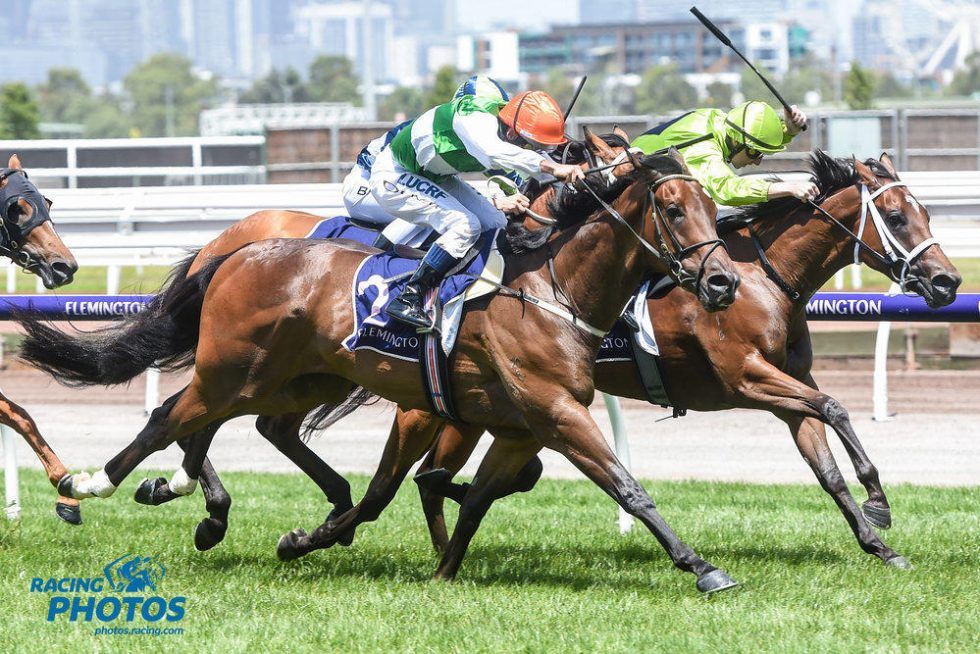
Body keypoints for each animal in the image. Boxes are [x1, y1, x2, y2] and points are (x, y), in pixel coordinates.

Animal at [19, 142, 745, 593]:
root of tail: (237, 251)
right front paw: (702, 566)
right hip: (232, 369)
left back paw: (196, 505)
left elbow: (472, 498)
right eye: (674, 210)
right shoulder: (552, 412)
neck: (550, 289)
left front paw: (437, 564)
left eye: (719, 211)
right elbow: (629, 487)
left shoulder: (519, 426)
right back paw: (90, 485)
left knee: (224, 425)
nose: (722, 283)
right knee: (168, 417)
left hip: (285, 378)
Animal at [408, 150, 960, 571]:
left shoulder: (784, 388)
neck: (762, 278)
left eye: (928, 214)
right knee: (430, 474)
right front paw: (878, 502)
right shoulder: (746, 377)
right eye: (896, 218)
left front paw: (879, 545)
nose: (947, 281)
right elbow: (834, 407)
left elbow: (826, 466)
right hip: (466, 408)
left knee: (439, 477)